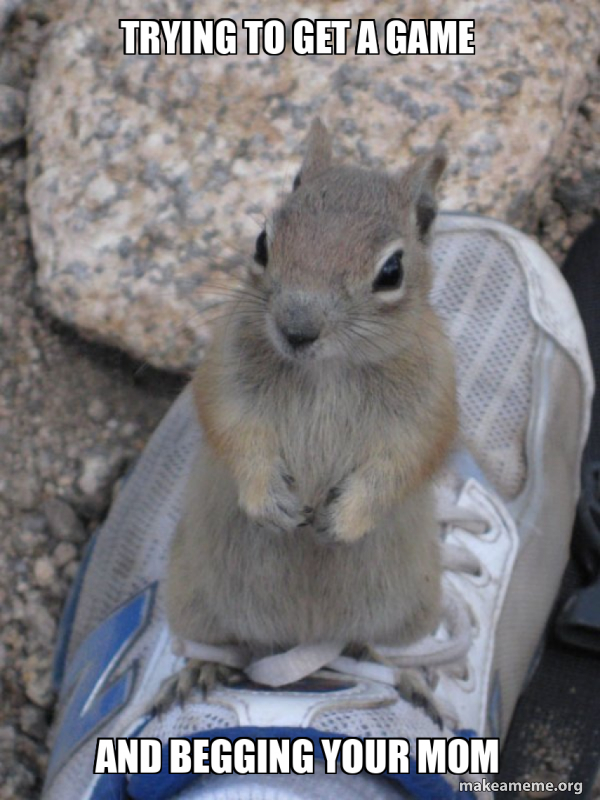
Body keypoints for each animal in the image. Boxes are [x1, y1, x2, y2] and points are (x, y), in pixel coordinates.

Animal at [162, 118, 458, 707]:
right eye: (262, 241)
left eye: (392, 271)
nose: (296, 328)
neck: (327, 369)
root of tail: (306, 634)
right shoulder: (226, 377)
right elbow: (237, 434)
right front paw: (269, 500)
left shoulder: (428, 407)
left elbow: (400, 464)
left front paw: (345, 519)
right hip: (191, 597)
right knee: (229, 647)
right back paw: (199, 671)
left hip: (412, 609)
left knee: (367, 645)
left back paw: (406, 678)